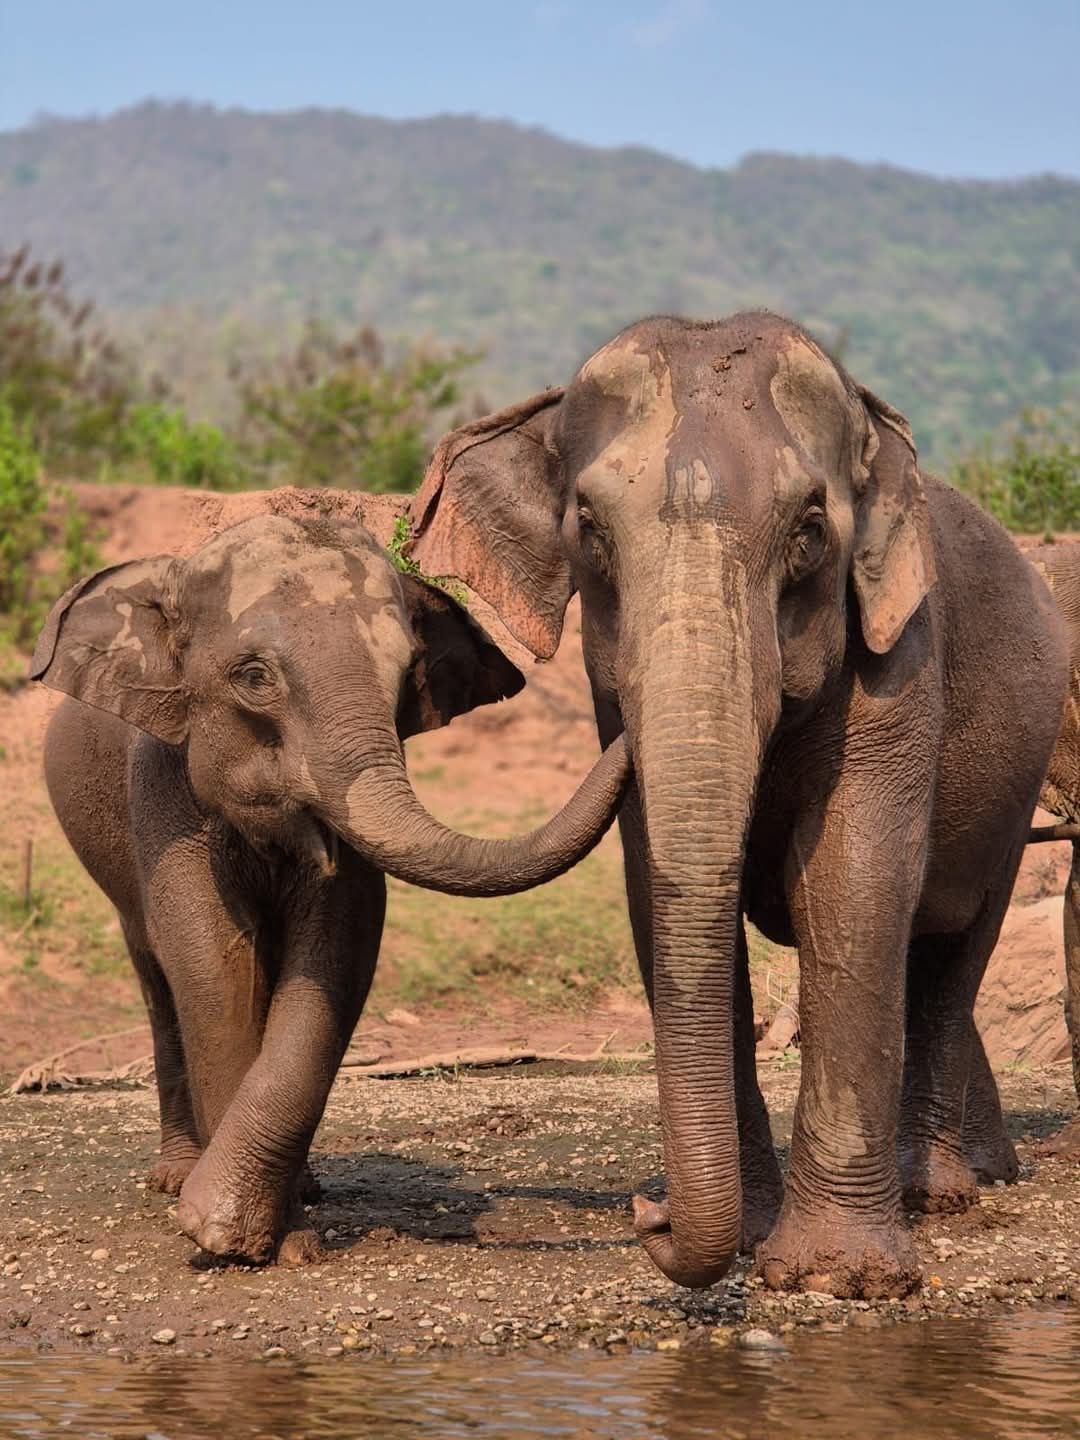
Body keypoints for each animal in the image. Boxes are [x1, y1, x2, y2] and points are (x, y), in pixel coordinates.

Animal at [32, 510, 630, 1264]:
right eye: (253, 676)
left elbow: (338, 952)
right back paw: (173, 1177)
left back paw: (300, 1185)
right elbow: (214, 961)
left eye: (407, 674)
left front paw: (281, 1234)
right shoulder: (161, 784)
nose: (629, 728)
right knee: (155, 975)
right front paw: (229, 1236)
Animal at [405, 311, 1070, 1298]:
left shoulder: (904, 660)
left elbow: (849, 888)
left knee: (954, 951)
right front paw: (757, 1237)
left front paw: (838, 1278)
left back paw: (940, 1194)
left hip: (1020, 778)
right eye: (589, 530)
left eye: (809, 532)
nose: (647, 1211)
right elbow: (663, 894)